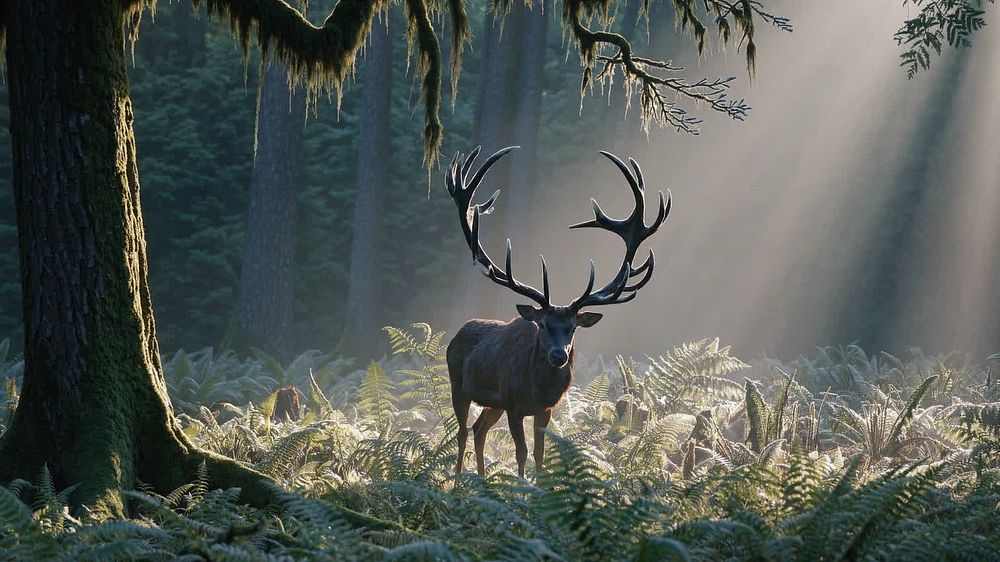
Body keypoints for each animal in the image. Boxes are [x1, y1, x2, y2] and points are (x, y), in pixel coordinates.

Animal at [445, 145, 671, 478]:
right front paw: (521, 486)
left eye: (572, 327)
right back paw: (460, 478)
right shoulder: (514, 404)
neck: (538, 388)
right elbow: (522, 453)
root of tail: (456, 335)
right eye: (542, 325)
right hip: (458, 385)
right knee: (462, 431)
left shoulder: (545, 409)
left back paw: (483, 479)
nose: (558, 355)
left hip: (492, 403)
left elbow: (539, 454)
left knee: (478, 429)